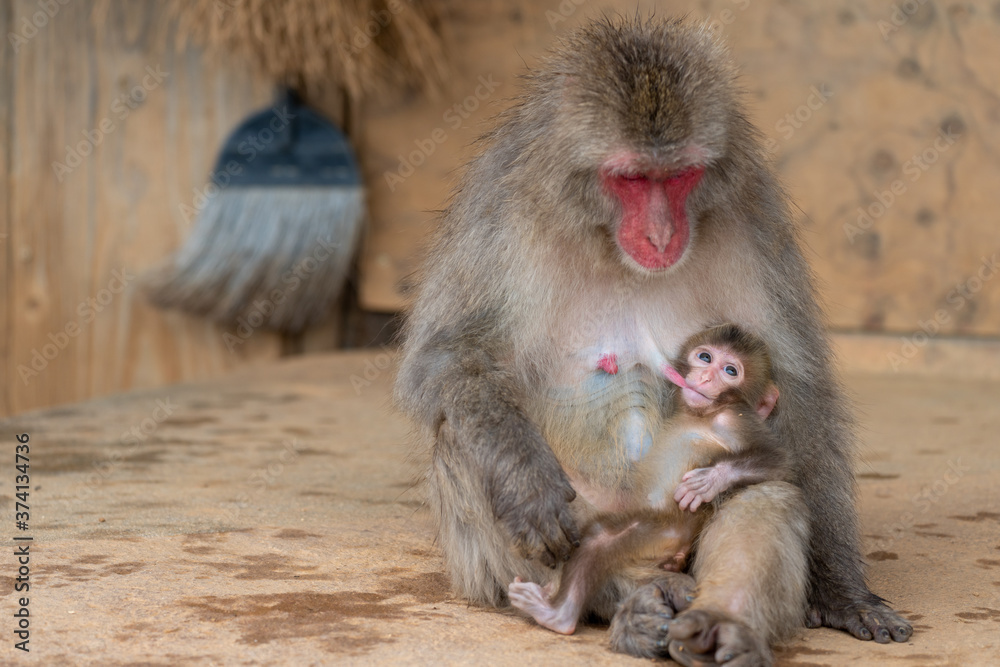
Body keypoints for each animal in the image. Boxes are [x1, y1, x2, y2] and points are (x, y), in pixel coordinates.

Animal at [507, 324, 792, 637]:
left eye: (731, 371)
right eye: (705, 357)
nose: (705, 377)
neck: (704, 414)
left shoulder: (735, 419)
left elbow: (780, 461)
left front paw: (709, 480)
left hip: (663, 531)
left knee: (602, 537)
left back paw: (557, 616)